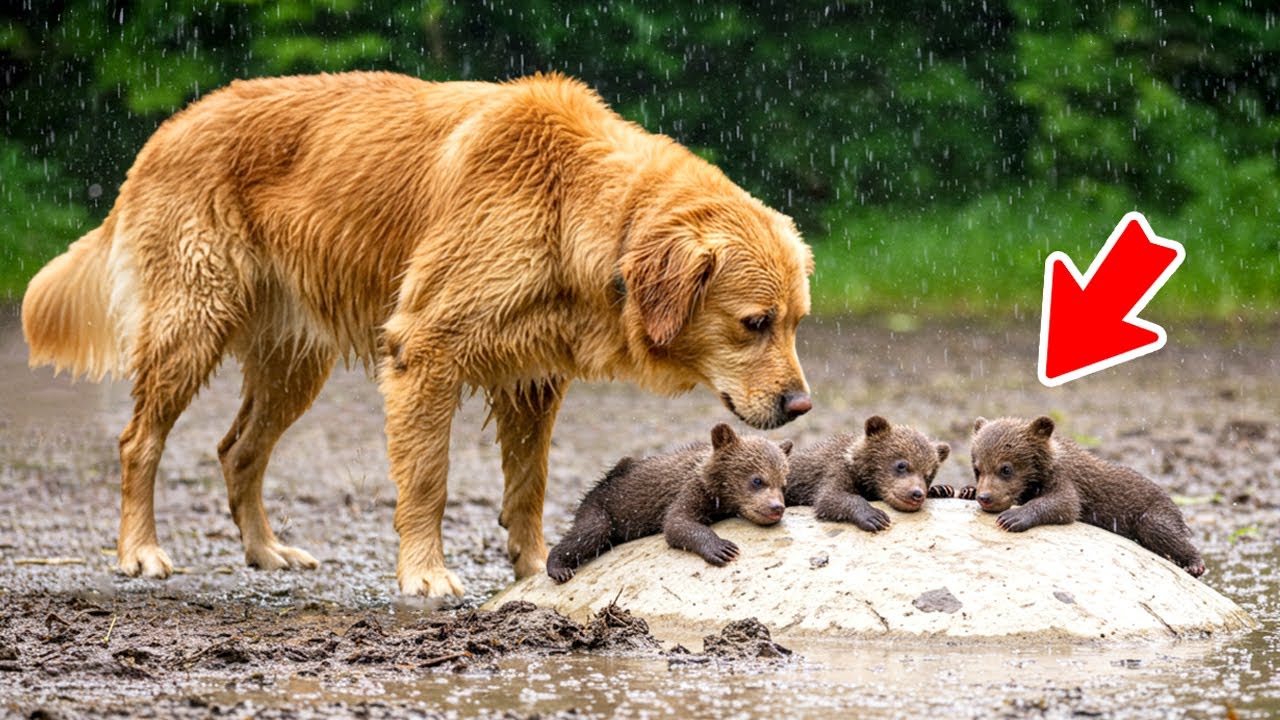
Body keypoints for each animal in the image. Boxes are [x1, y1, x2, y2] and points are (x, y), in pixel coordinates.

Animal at [546, 424, 791, 583]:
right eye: (757, 480)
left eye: (783, 483)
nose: (776, 508)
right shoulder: (692, 490)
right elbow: (677, 523)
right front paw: (722, 548)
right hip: (602, 505)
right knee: (591, 530)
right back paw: (559, 567)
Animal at [785, 416, 951, 531]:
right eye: (902, 465)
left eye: (928, 475)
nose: (917, 494)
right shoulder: (834, 471)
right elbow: (829, 497)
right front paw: (874, 517)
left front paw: (941, 489)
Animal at [969, 415, 1205, 577]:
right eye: (977, 469)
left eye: (1006, 469)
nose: (985, 497)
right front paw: (968, 492)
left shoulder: (1066, 478)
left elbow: (1065, 504)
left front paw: (1012, 518)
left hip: (1156, 510)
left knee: (1161, 529)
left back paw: (1195, 563)